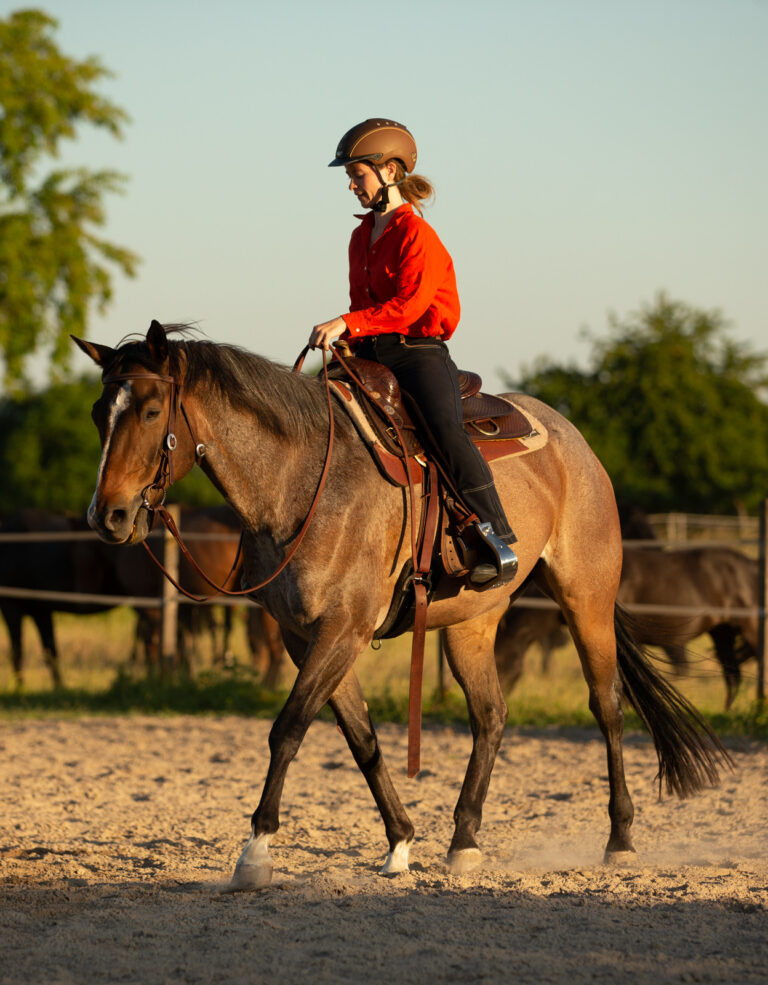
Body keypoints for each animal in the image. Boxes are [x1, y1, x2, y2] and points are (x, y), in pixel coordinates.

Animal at [73, 321, 730, 888]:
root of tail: (574, 443)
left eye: (151, 411)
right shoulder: (307, 638)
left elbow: (288, 729)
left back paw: (620, 840)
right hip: (472, 623)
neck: (300, 484)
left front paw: (255, 854)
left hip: (585, 599)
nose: (107, 517)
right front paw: (401, 844)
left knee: (608, 707)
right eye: (98, 415)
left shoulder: (342, 630)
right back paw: (464, 843)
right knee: (491, 716)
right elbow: (361, 740)